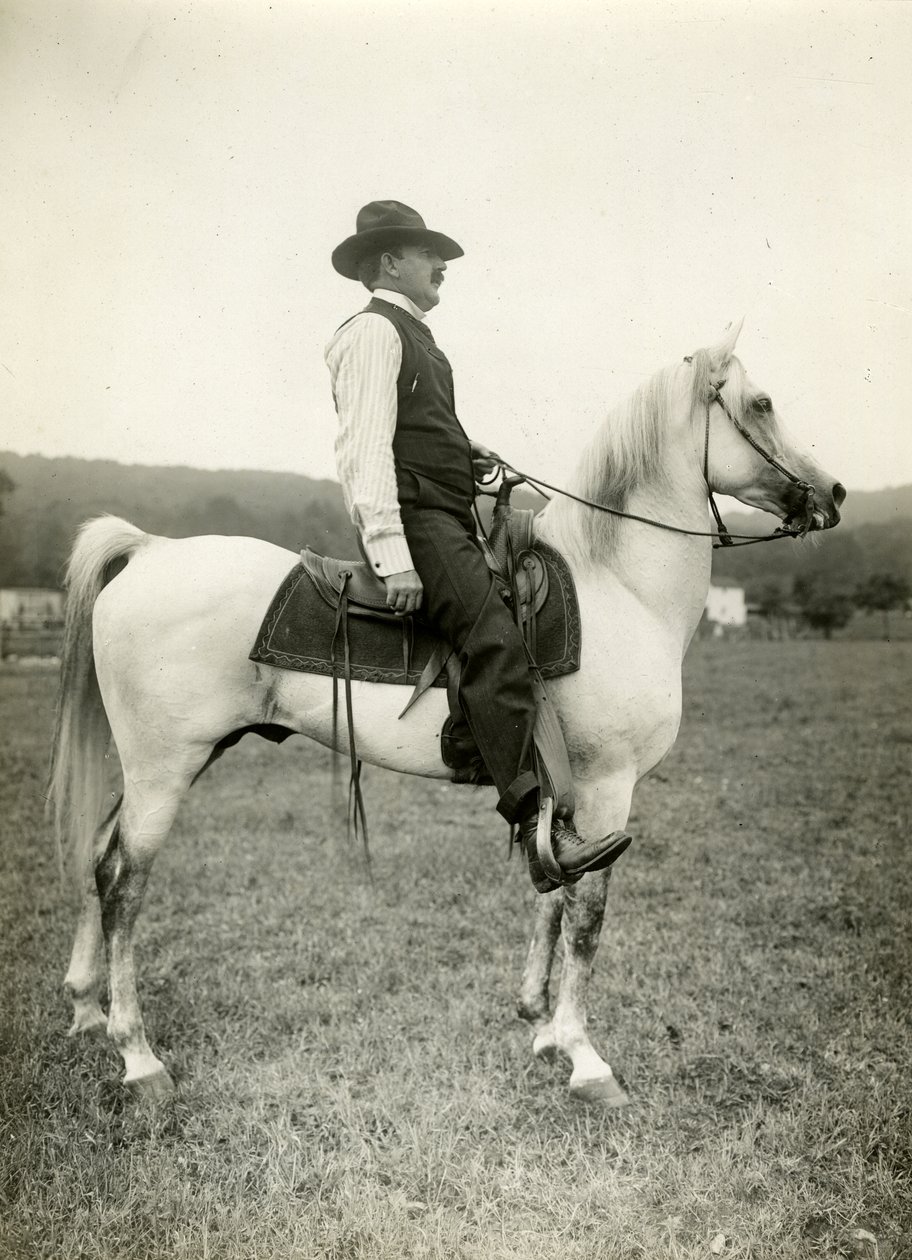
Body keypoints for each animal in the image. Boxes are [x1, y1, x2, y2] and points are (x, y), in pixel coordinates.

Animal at [48, 324, 844, 1104]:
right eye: (762, 403)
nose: (833, 491)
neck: (618, 585)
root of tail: (150, 550)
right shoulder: (608, 788)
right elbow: (586, 918)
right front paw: (586, 1059)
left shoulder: (566, 795)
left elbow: (552, 896)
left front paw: (543, 1028)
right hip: (163, 770)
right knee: (123, 883)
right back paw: (137, 1054)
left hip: (162, 764)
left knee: (95, 855)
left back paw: (87, 1011)